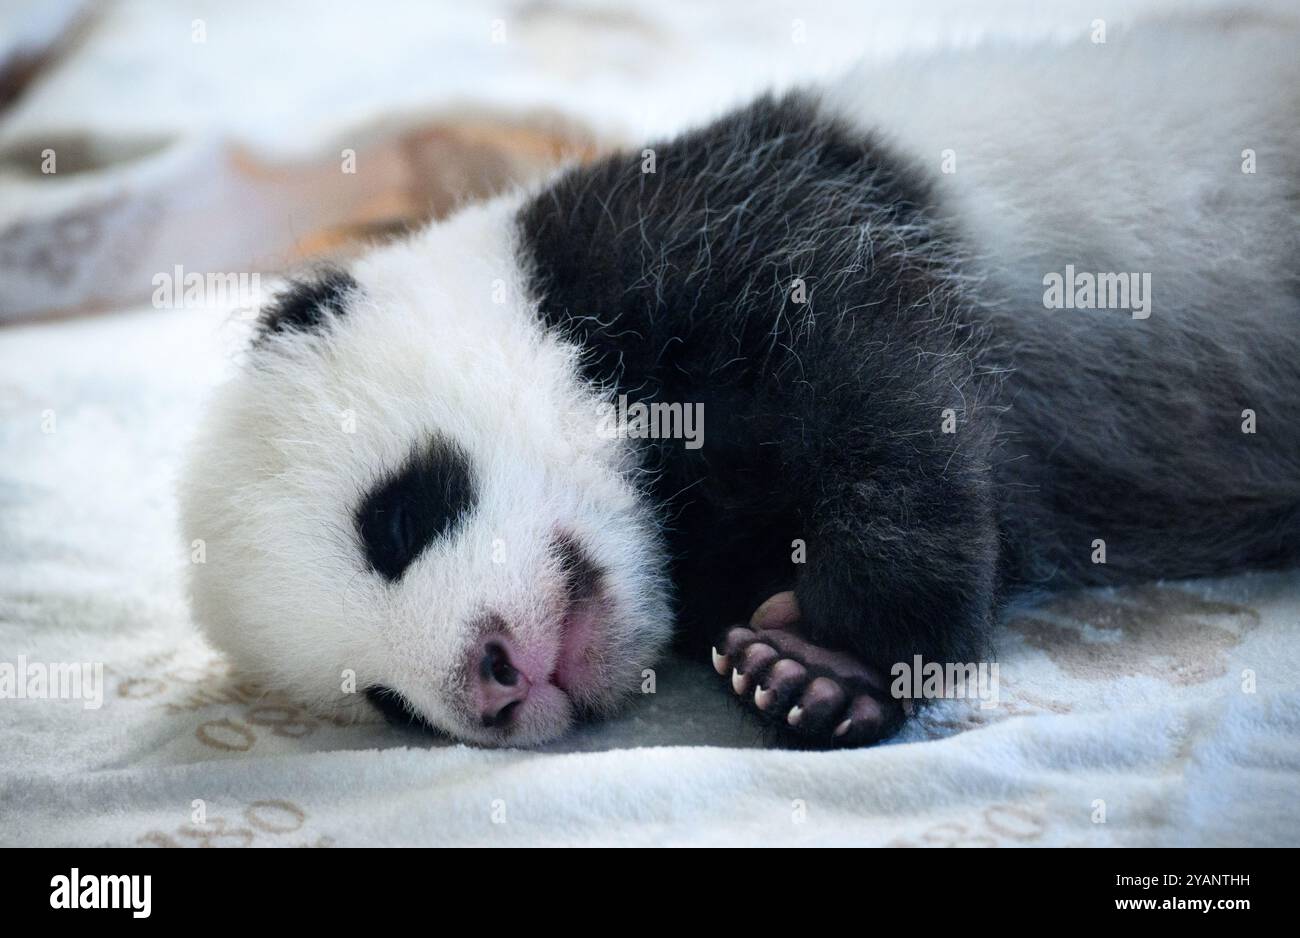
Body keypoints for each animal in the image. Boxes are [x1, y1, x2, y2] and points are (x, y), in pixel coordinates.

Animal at [180, 14, 1300, 748]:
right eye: (388, 702)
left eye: (398, 516)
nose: (492, 681)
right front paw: (800, 674)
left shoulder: (723, 222)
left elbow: (886, 379)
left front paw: (836, 654)